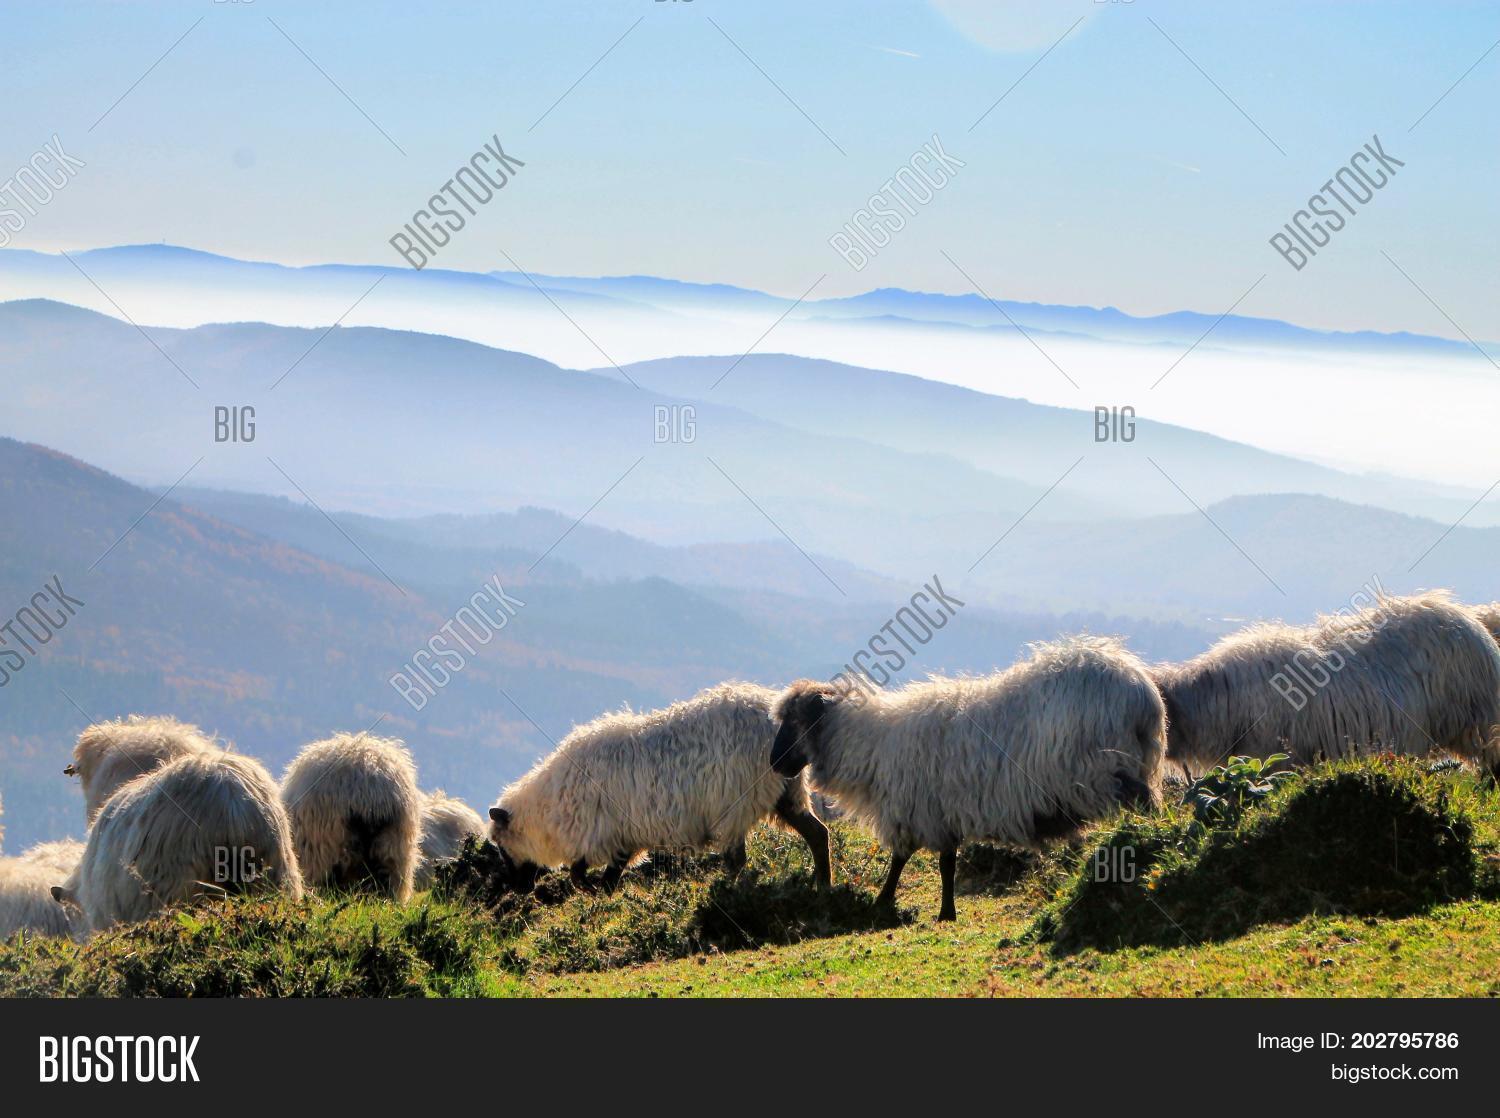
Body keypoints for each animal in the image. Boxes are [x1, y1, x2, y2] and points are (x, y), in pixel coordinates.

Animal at [487, 682, 831, 891]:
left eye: (501, 846)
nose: (518, 888)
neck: (547, 810)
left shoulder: (597, 835)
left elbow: (578, 876)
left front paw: (591, 893)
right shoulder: (623, 836)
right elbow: (609, 878)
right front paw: (605, 899)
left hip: (734, 802)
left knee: (737, 858)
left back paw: (729, 889)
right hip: (786, 792)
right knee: (818, 833)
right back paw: (822, 885)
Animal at [771, 637, 1165, 922]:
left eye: (793, 721)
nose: (774, 763)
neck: (868, 743)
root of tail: (1142, 691)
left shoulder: (914, 810)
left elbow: (903, 859)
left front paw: (885, 901)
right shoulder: (942, 812)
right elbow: (946, 864)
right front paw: (946, 911)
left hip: (1110, 771)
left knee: (1146, 803)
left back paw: (1150, 832)